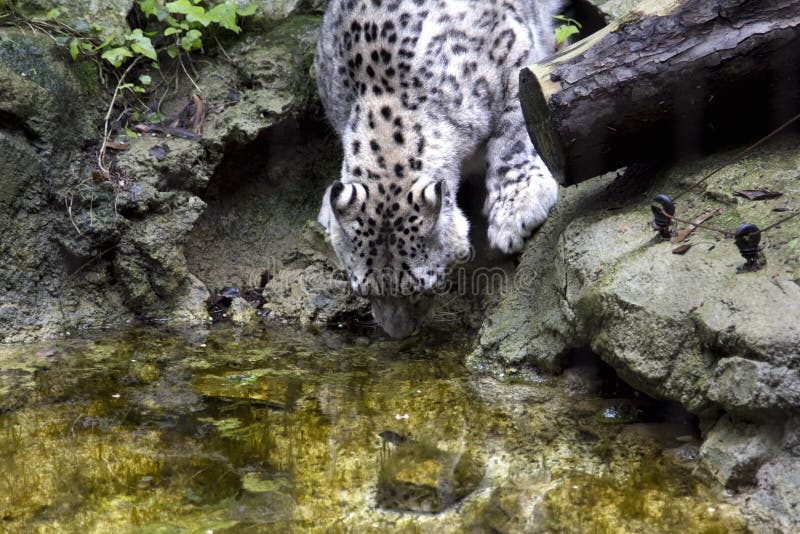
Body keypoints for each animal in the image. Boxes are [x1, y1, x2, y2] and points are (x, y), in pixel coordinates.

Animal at [315, 0, 561, 338]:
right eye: (363, 291)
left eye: (421, 288)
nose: (397, 334)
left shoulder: (514, 57)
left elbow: (517, 126)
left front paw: (516, 210)